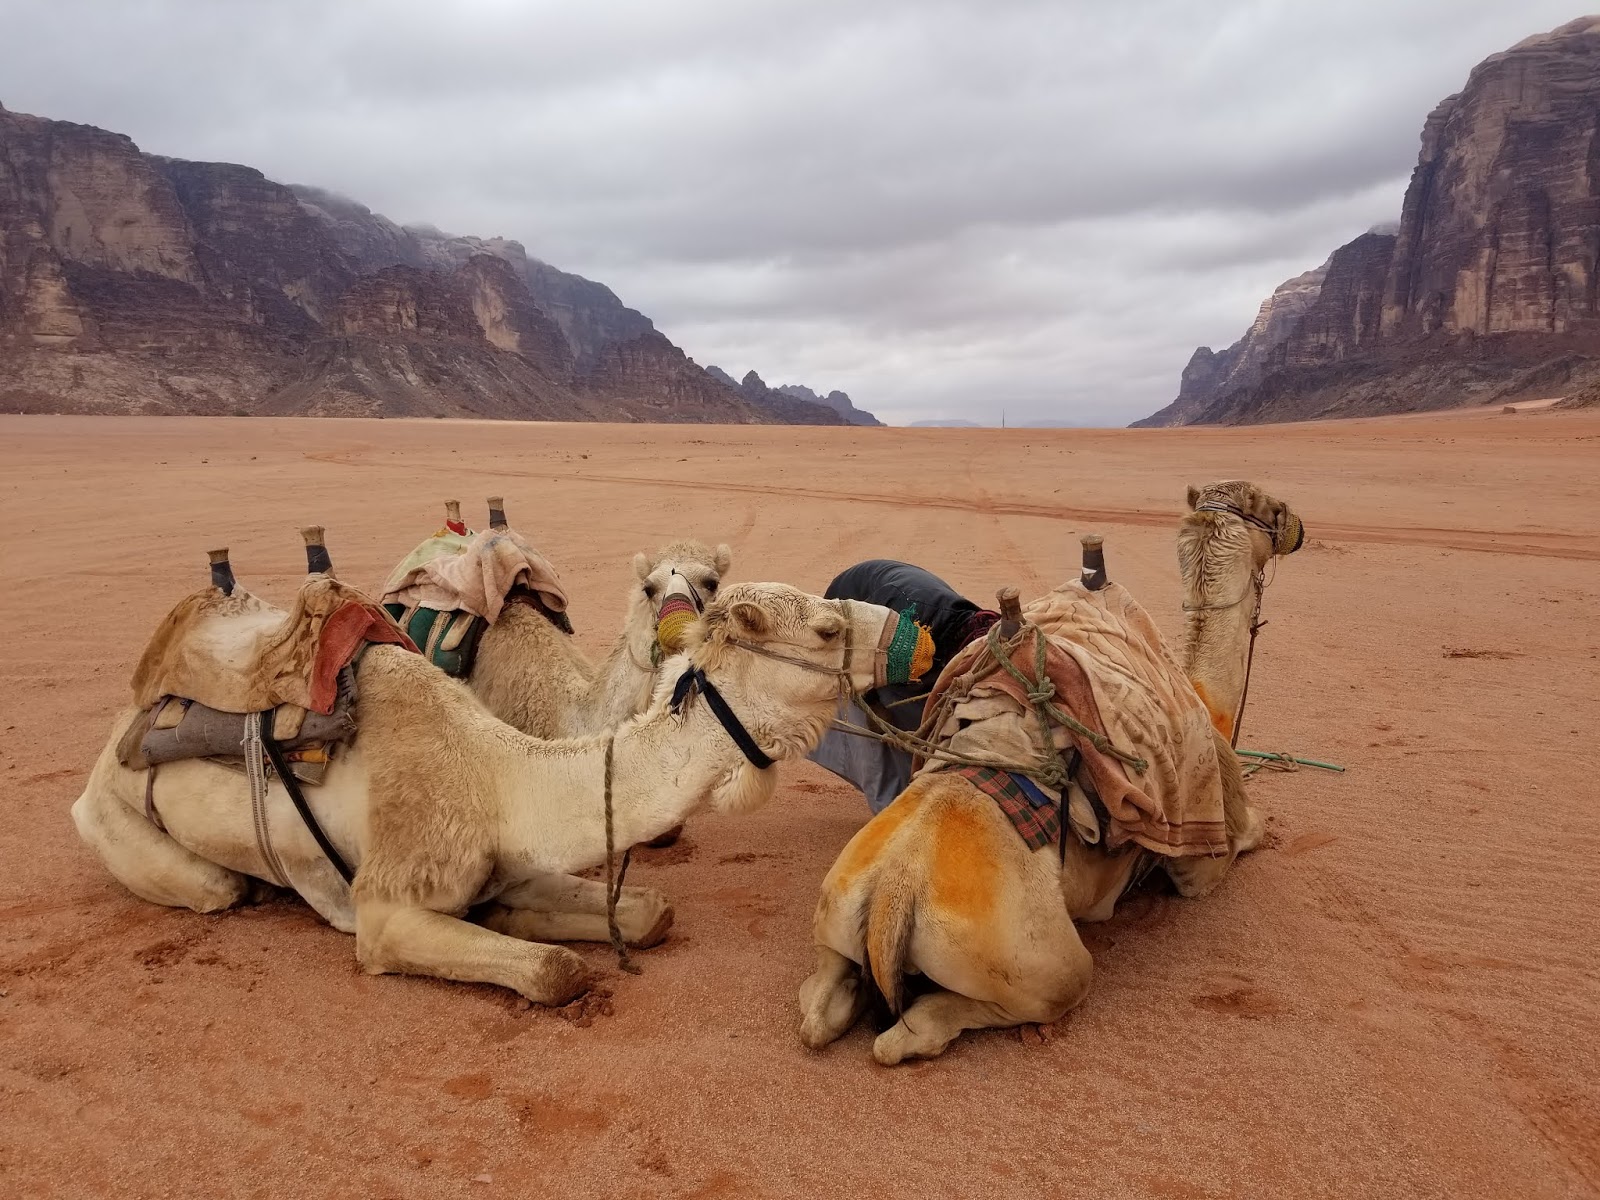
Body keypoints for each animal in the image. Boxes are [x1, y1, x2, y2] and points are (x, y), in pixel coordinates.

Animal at [72, 581, 910, 1004]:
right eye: (828, 631)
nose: (918, 635)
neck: (497, 773)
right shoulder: (388, 904)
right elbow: (554, 971)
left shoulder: (514, 857)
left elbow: (647, 912)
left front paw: (516, 916)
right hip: (118, 822)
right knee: (215, 887)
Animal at [797, 481, 1305, 1063]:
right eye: (1272, 509)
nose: (1297, 529)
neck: (1205, 699)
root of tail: (891, 900)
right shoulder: (1202, 857)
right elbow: (1250, 833)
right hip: (1040, 967)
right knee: (927, 1027)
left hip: (835, 910)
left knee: (821, 1010)